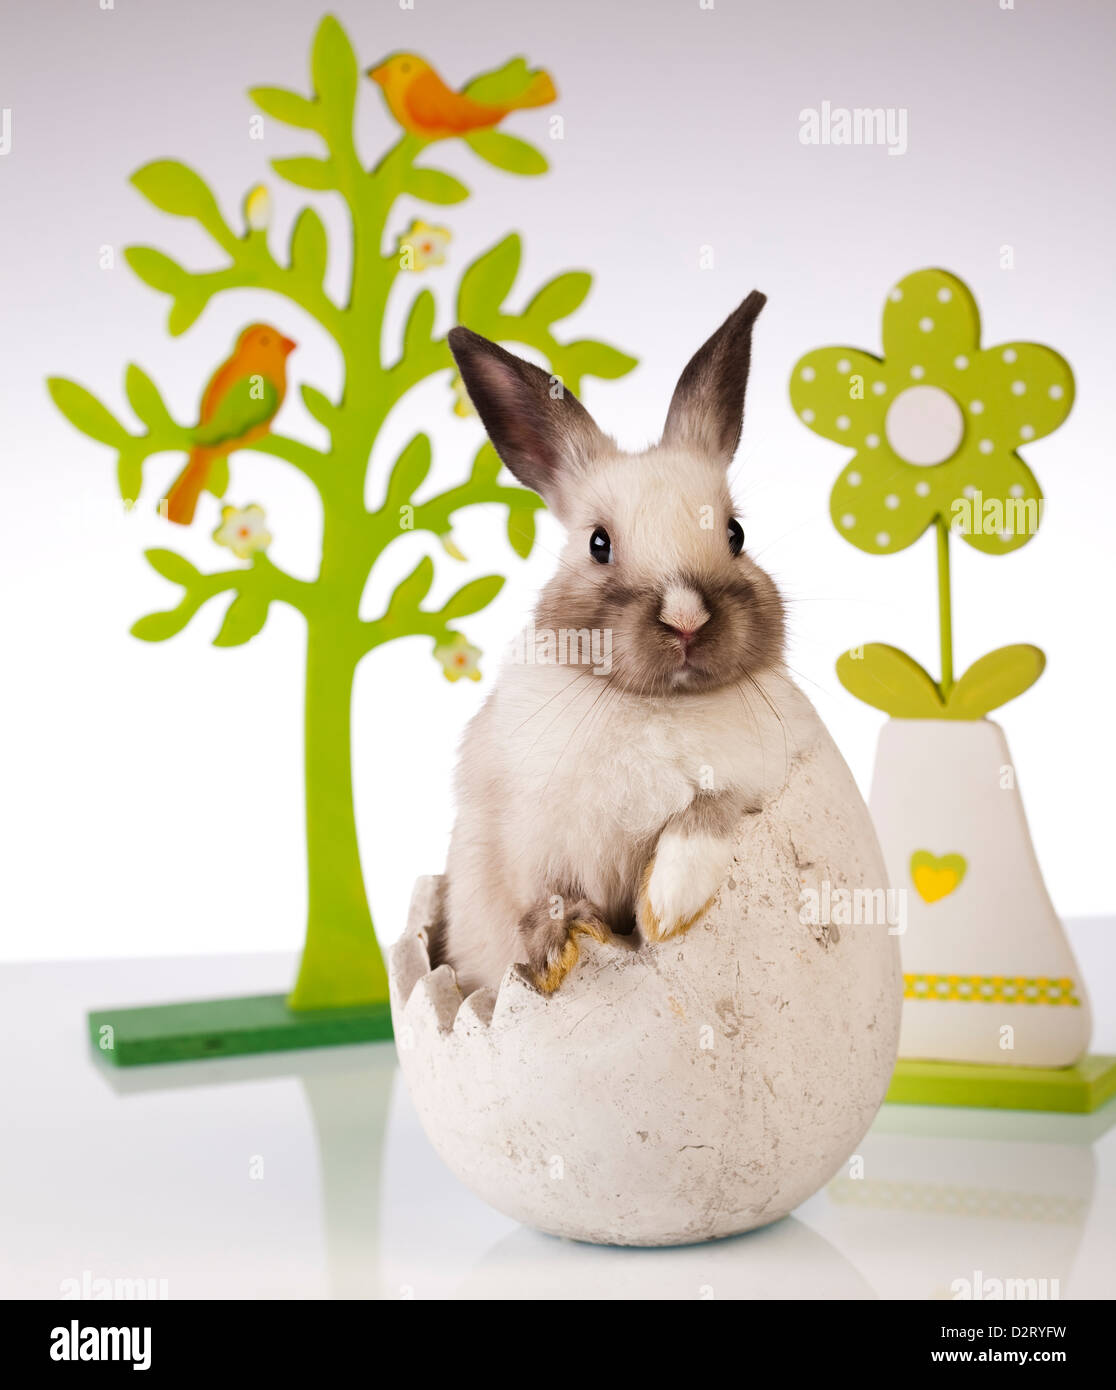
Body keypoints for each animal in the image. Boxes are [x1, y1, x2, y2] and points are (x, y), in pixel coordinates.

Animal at [437, 292, 823, 997]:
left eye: (735, 533)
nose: (687, 621)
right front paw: (553, 952)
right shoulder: (527, 840)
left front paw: (667, 906)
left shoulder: (757, 783)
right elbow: (544, 897)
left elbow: (707, 811)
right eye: (599, 544)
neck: (658, 706)